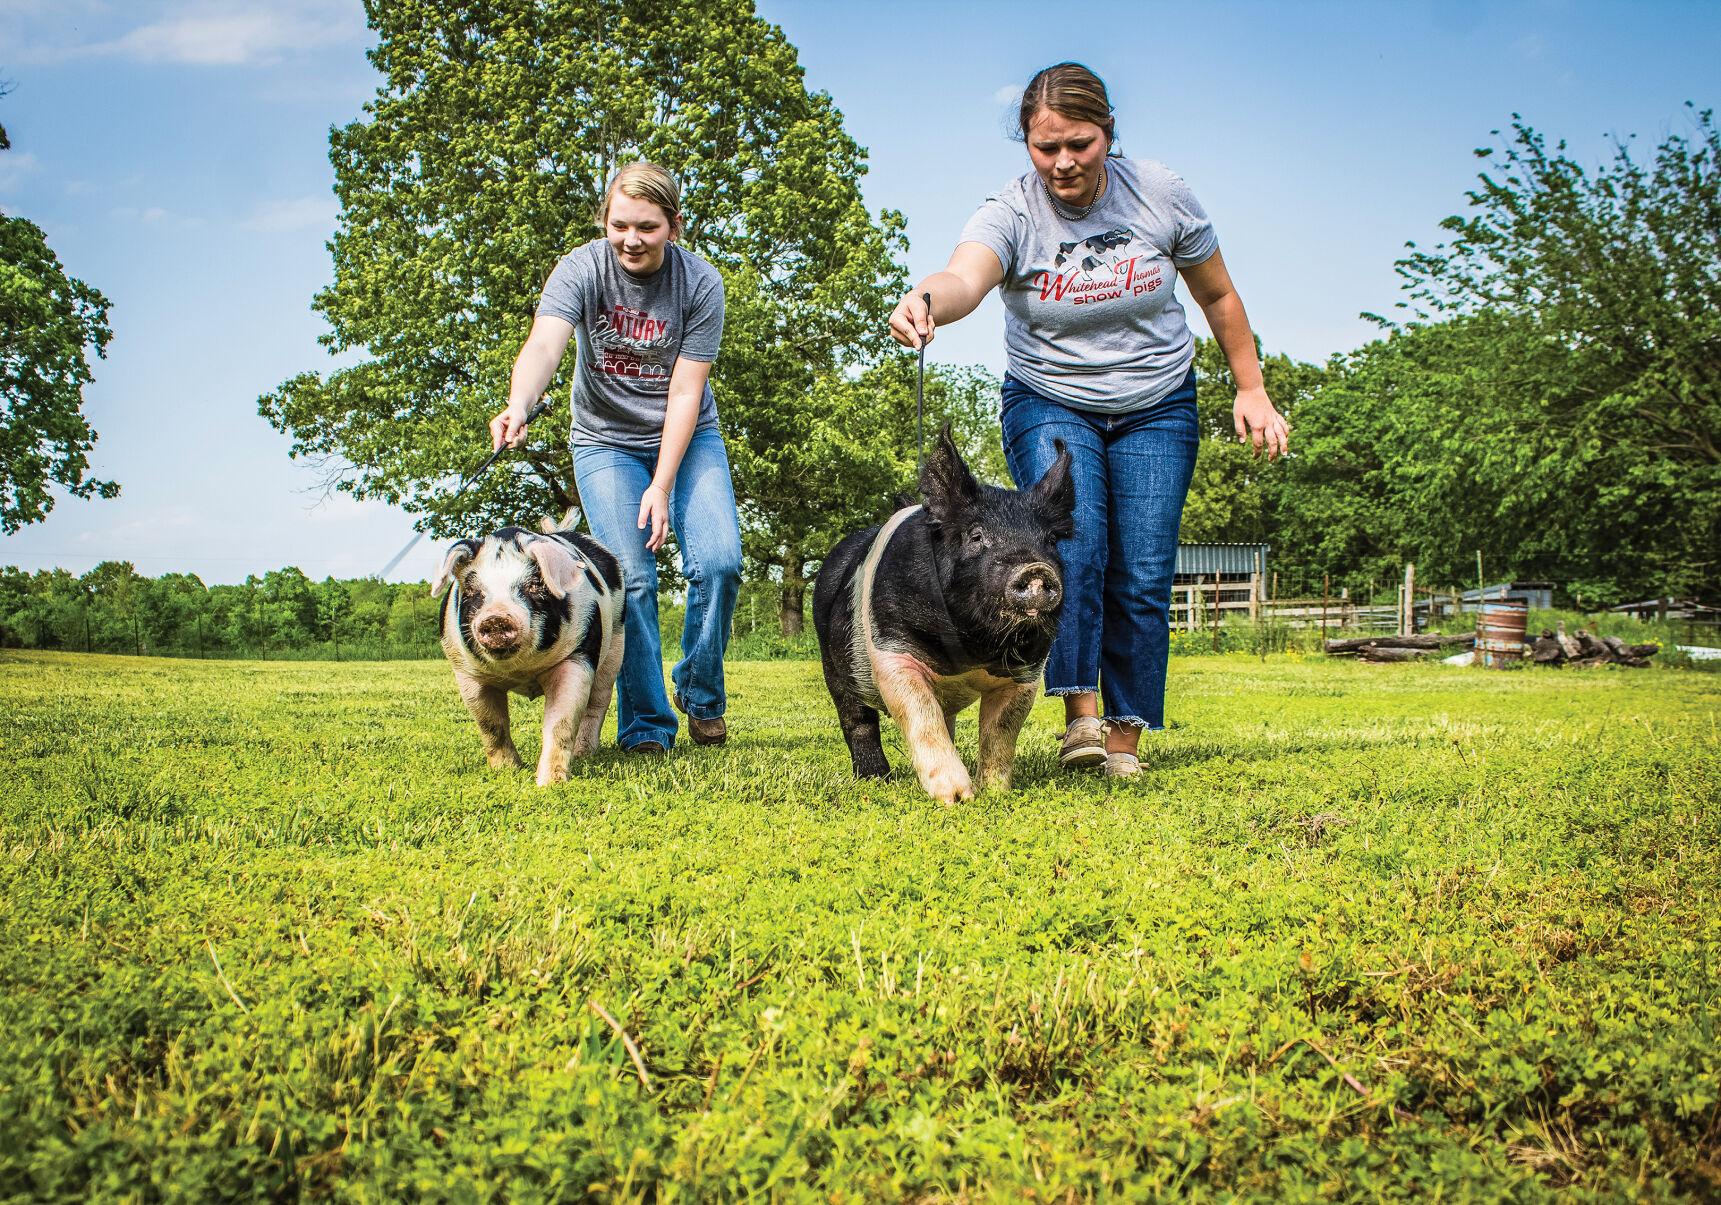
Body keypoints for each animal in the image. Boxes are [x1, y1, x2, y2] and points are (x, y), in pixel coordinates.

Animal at [430, 513, 624, 785]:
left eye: (534, 585)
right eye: (472, 591)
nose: (496, 617)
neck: (520, 672)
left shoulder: (576, 657)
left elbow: (561, 721)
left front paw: (550, 783)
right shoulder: (466, 673)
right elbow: (490, 724)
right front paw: (506, 770)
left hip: (616, 643)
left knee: (597, 703)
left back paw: (584, 753)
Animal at [812, 425, 1075, 803]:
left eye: (1051, 541)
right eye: (976, 536)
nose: (1036, 569)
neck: (972, 650)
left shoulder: (1025, 673)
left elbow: (1000, 732)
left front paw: (994, 793)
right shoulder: (892, 650)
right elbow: (922, 716)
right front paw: (956, 798)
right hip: (832, 664)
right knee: (857, 720)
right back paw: (876, 778)